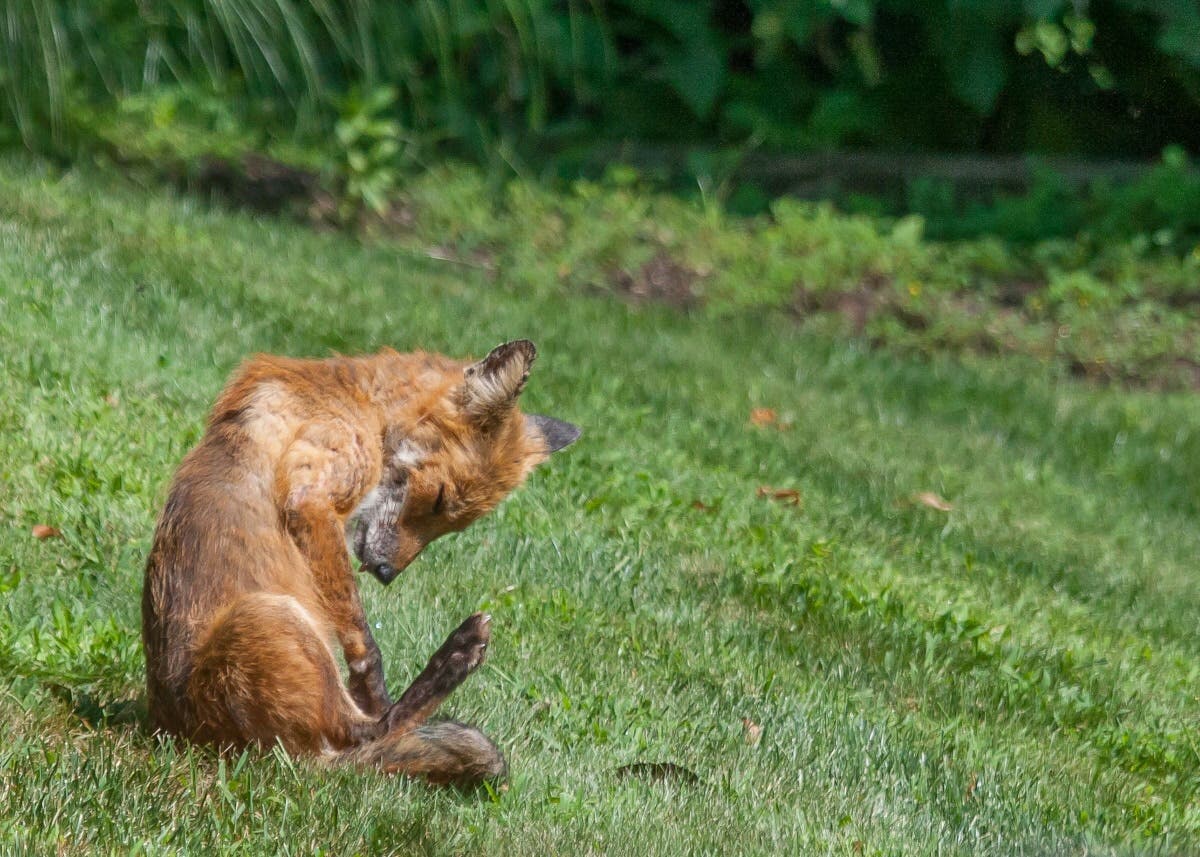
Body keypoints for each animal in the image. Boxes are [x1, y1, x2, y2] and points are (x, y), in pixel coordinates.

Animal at [141, 339, 579, 785]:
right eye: (439, 500)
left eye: (457, 524)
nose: (387, 573)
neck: (365, 403)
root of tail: (187, 734)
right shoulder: (313, 499)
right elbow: (366, 647)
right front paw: (377, 693)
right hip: (265, 615)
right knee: (366, 733)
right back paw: (454, 658)